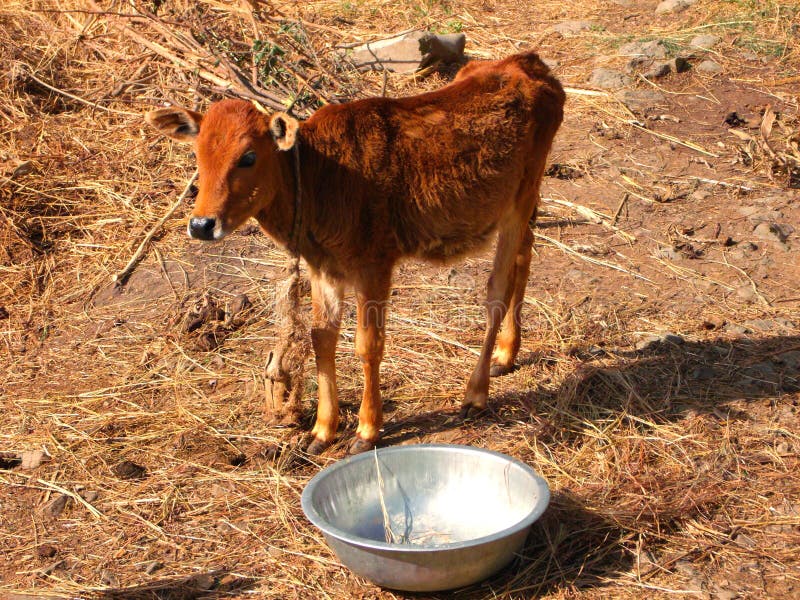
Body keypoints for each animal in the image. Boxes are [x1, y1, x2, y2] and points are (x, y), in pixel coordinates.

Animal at [145, 51, 565, 455]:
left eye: (248, 156)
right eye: (197, 154)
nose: (202, 224)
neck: (321, 177)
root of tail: (530, 64)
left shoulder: (374, 264)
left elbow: (368, 344)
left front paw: (367, 430)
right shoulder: (324, 267)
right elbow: (321, 338)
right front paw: (321, 430)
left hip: (518, 200)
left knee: (499, 287)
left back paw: (475, 394)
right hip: (525, 203)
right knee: (525, 259)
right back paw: (506, 354)